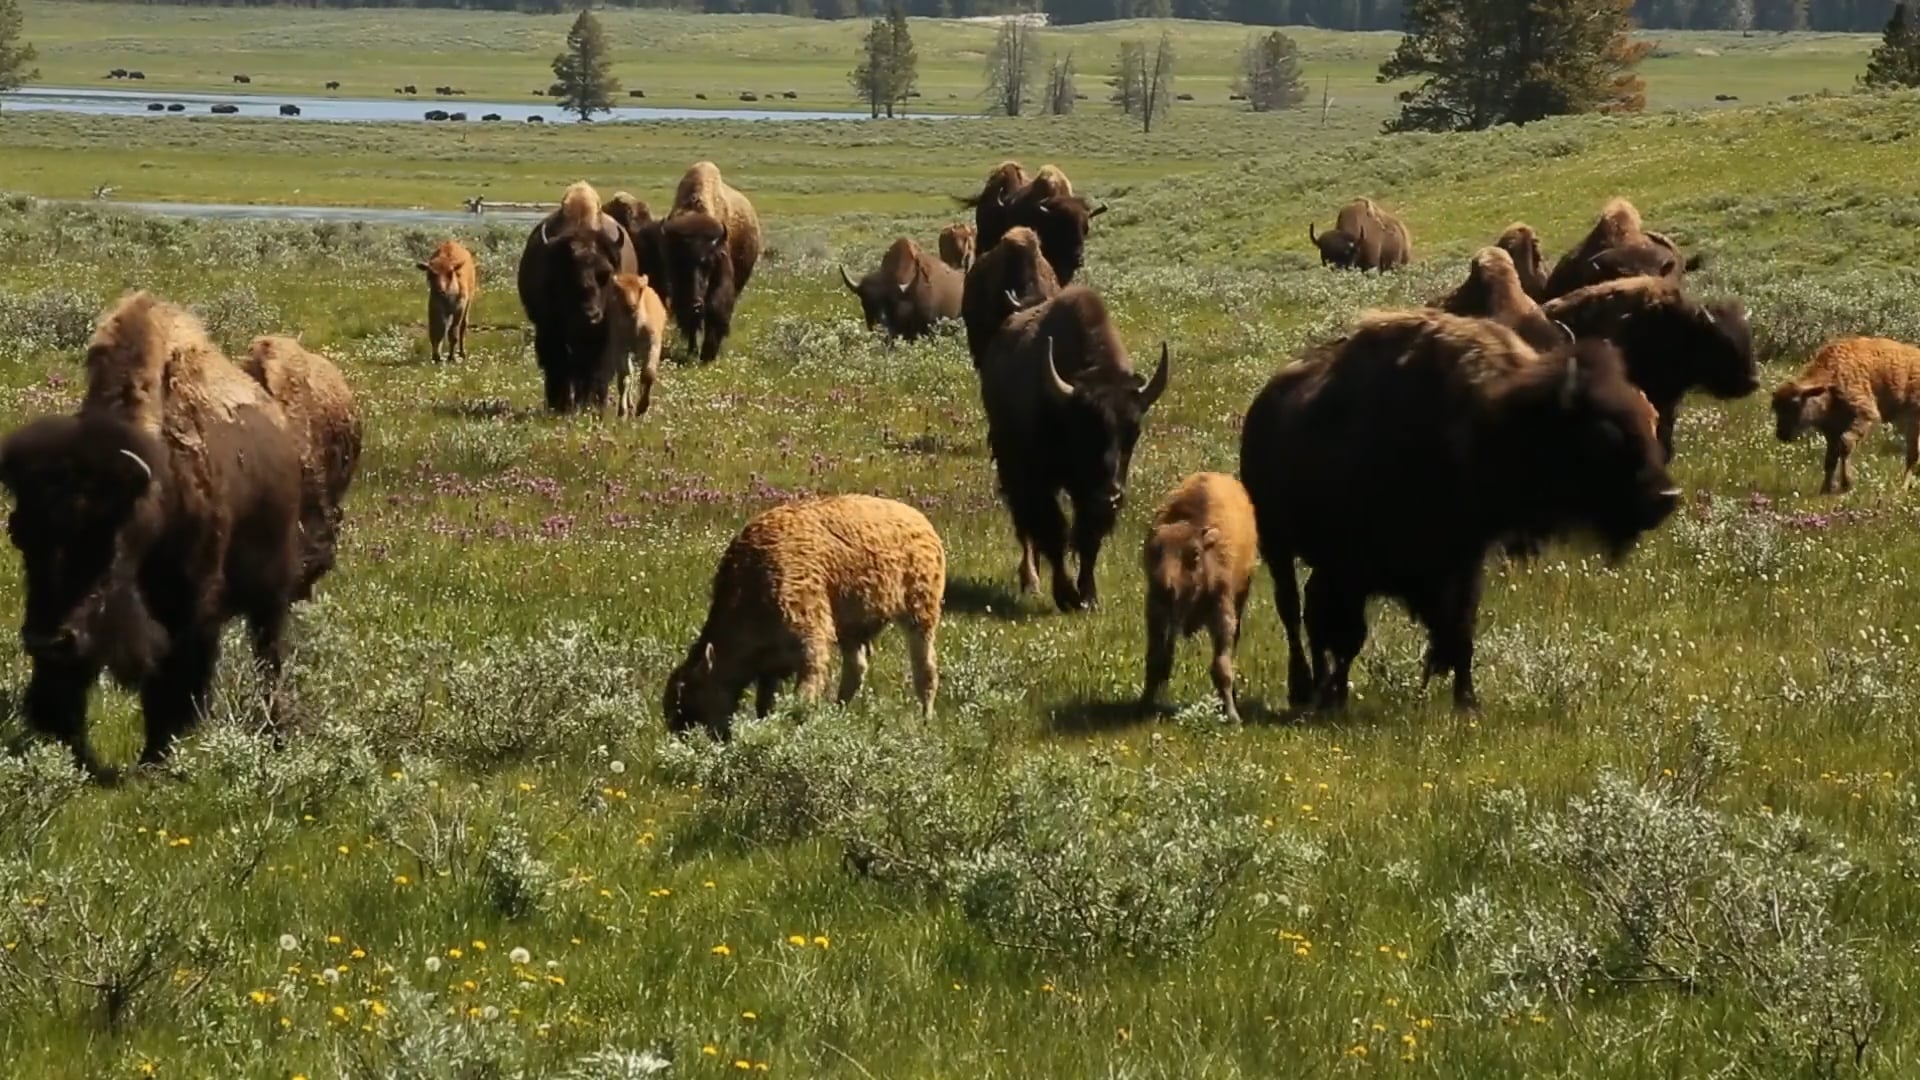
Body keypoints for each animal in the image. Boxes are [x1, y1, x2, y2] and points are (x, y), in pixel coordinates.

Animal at [516, 181, 640, 413]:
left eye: (606, 273)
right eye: (566, 273)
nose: (589, 316)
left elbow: (597, 367)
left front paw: (594, 404)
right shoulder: (550, 328)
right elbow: (560, 364)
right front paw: (560, 404)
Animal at [978, 286, 1170, 611]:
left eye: (1134, 432)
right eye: (1084, 430)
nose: (1110, 496)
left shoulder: (1087, 495)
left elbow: (1087, 539)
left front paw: (1089, 597)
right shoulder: (1036, 482)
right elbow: (1054, 532)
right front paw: (1066, 595)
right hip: (1009, 468)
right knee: (1025, 528)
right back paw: (1031, 582)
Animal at [1239, 311, 1678, 710]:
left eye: (1649, 419)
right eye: (1603, 434)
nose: (1667, 495)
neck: (1486, 423)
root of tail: (1262, 406)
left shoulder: (1461, 563)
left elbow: (1460, 630)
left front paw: (1467, 702)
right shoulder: (1354, 567)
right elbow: (1347, 633)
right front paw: (1334, 696)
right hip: (1276, 545)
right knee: (1293, 611)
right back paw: (1303, 688)